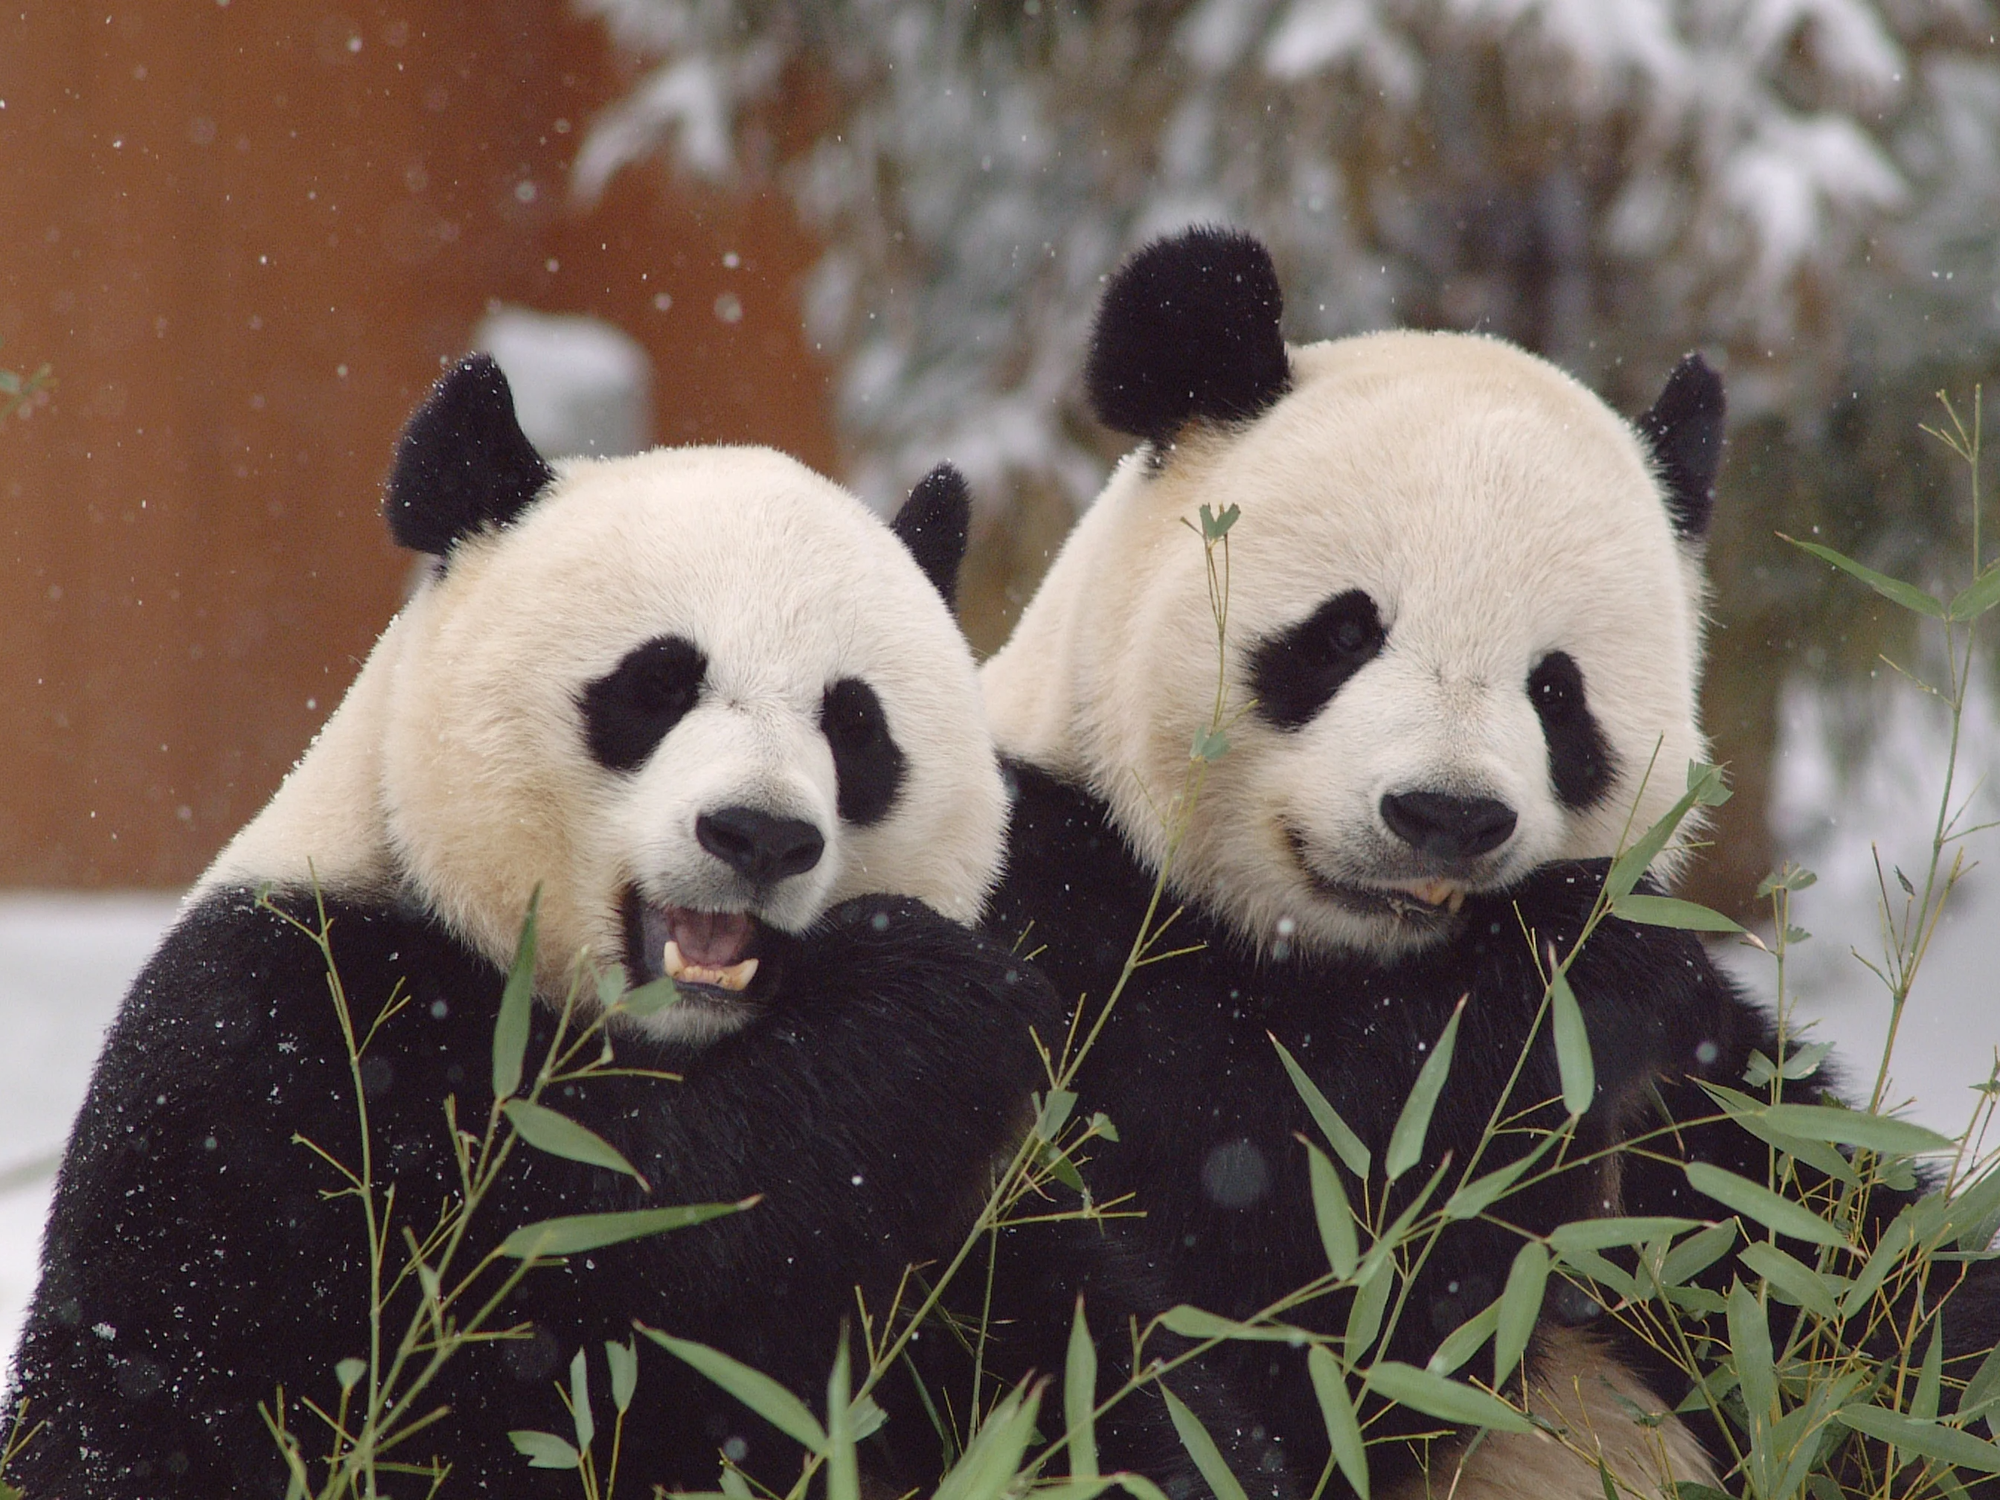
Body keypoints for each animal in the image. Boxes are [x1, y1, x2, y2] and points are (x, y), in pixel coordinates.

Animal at [3, 356, 1064, 1498]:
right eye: (656, 684)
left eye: (854, 724)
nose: (761, 836)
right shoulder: (280, 1048)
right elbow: (579, 1268)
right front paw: (928, 1004)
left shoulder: (991, 1225)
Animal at [982, 228, 1999, 1499]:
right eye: (1340, 633)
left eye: (1556, 693)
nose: (1444, 815)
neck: (1351, 963)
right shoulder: (1049, 915)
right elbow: (1277, 1263)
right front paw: (1573, 971)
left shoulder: (1703, 1130)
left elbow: (1866, 1296)